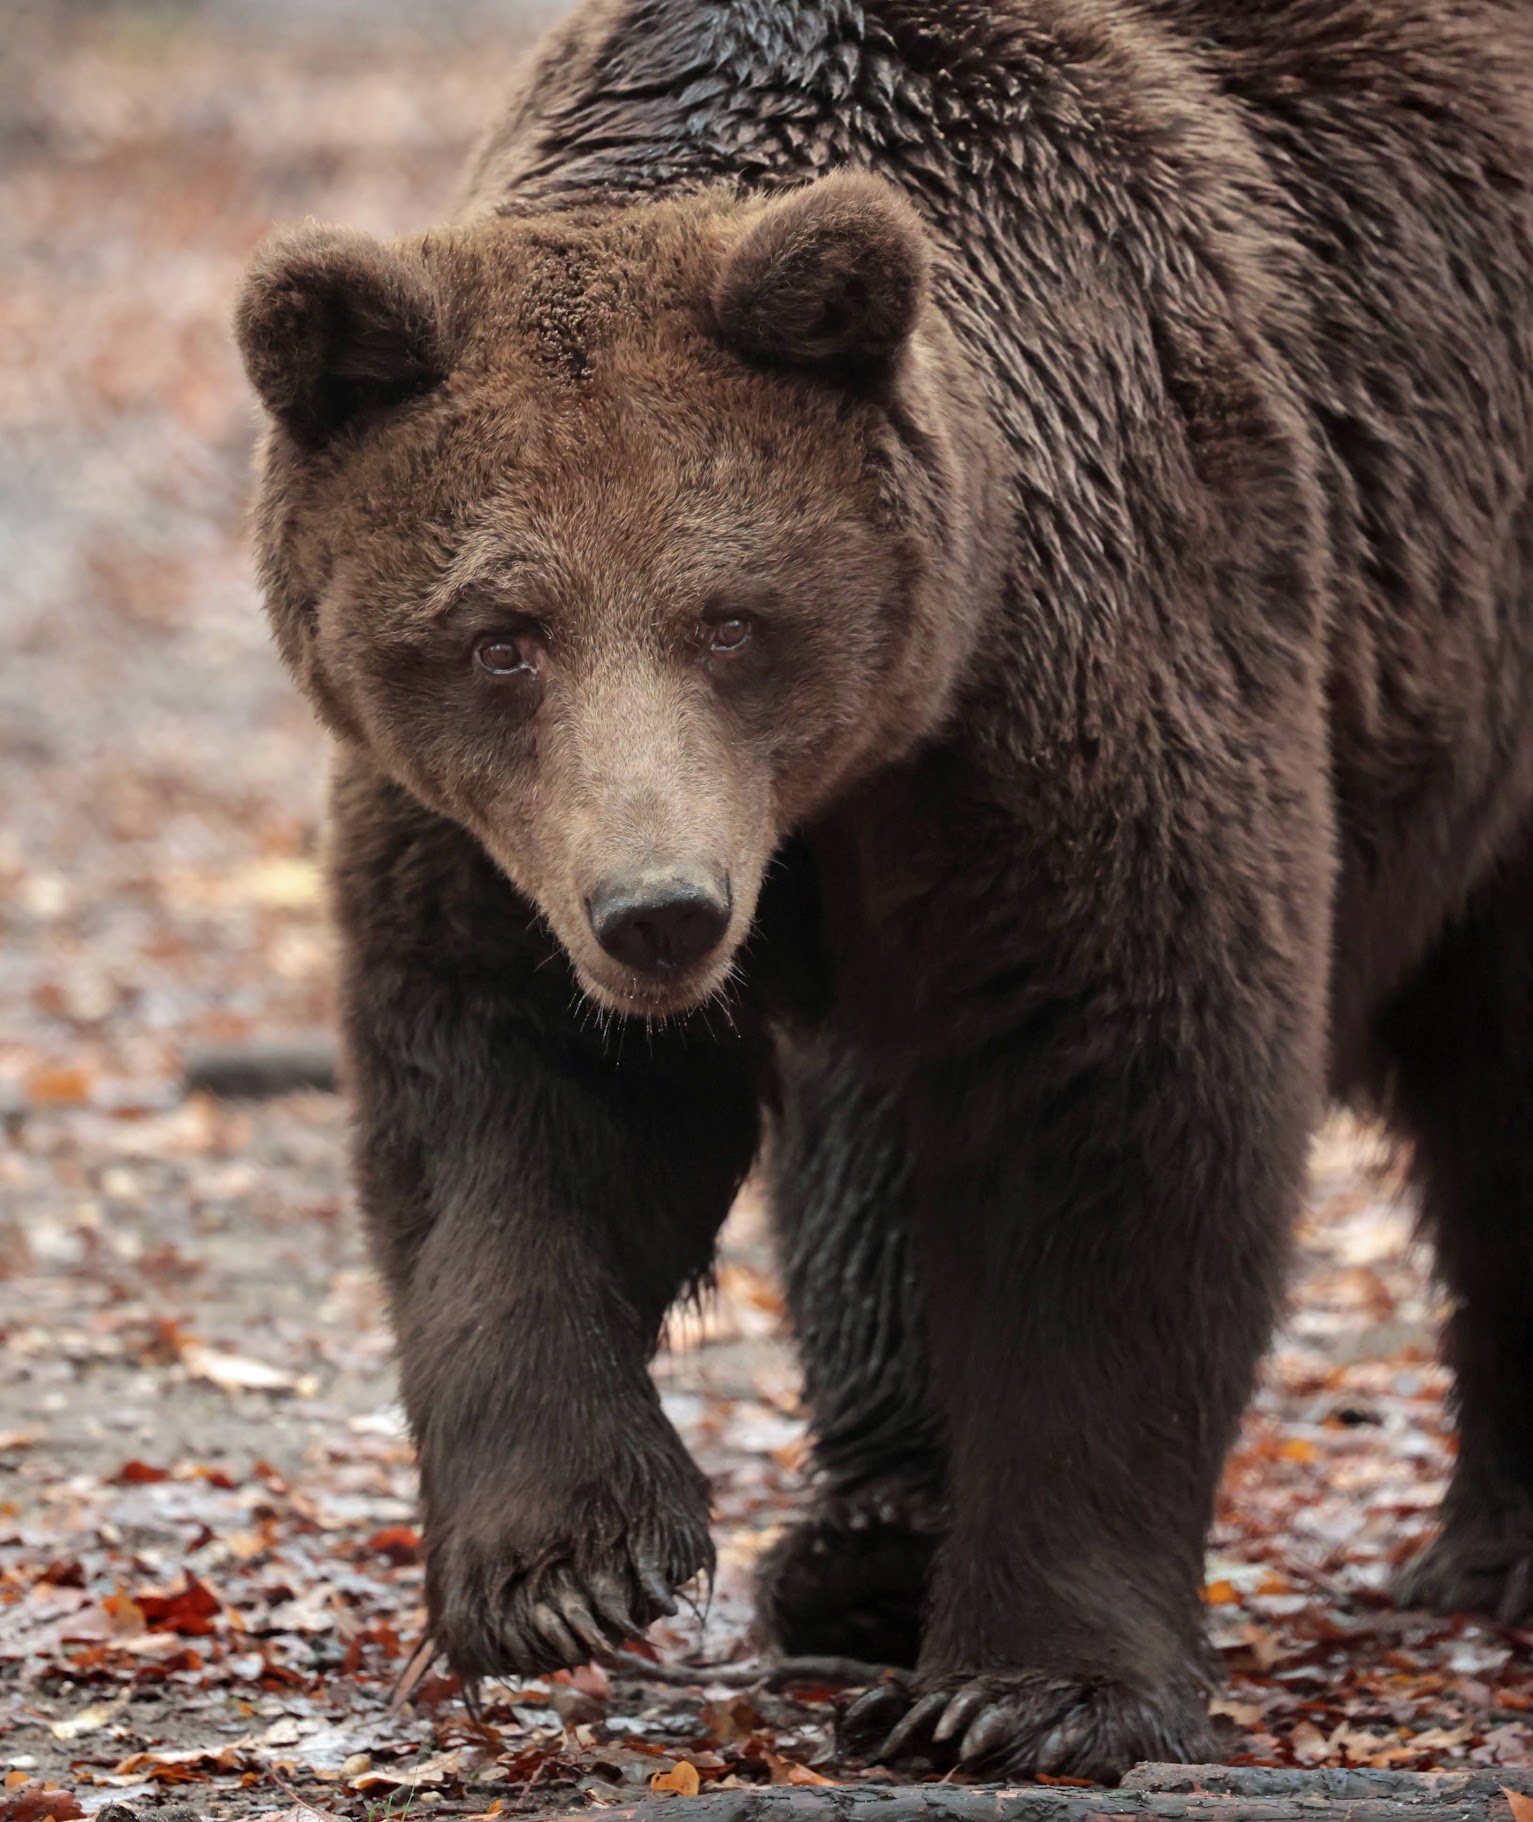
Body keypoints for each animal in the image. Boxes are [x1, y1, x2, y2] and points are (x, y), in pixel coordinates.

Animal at [233, 0, 1533, 1784]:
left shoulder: (1096, 666)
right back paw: (865, 1548)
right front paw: (568, 1564)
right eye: (501, 635)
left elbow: (1116, 1109)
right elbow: (512, 1110)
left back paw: (1489, 1550)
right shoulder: (501, 838)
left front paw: (1025, 1687)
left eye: (729, 615)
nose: (660, 915)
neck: (850, 766)